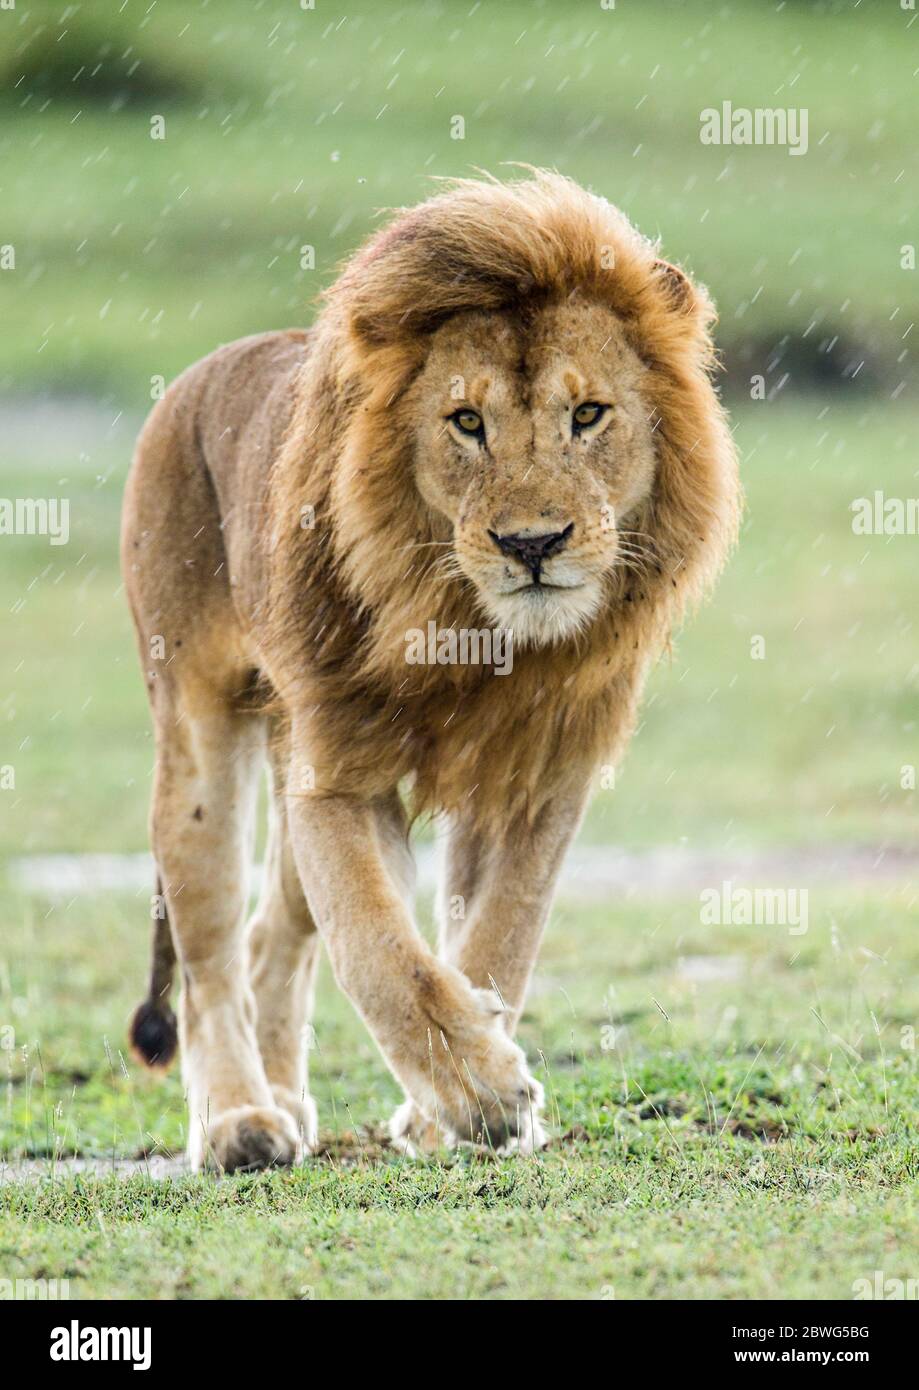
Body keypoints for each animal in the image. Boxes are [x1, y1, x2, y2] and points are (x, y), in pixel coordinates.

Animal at [121, 171, 740, 1171]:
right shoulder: (339, 773)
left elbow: (500, 935)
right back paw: (239, 1123)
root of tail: (198, 374)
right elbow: (381, 950)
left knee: (268, 936)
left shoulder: (538, 774)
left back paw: (286, 1102)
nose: (532, 543)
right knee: (211, 951)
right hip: (198, 741)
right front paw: (479, 1094)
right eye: (466, 423)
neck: (479, 640)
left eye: (588, 415)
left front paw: (449, 1107)